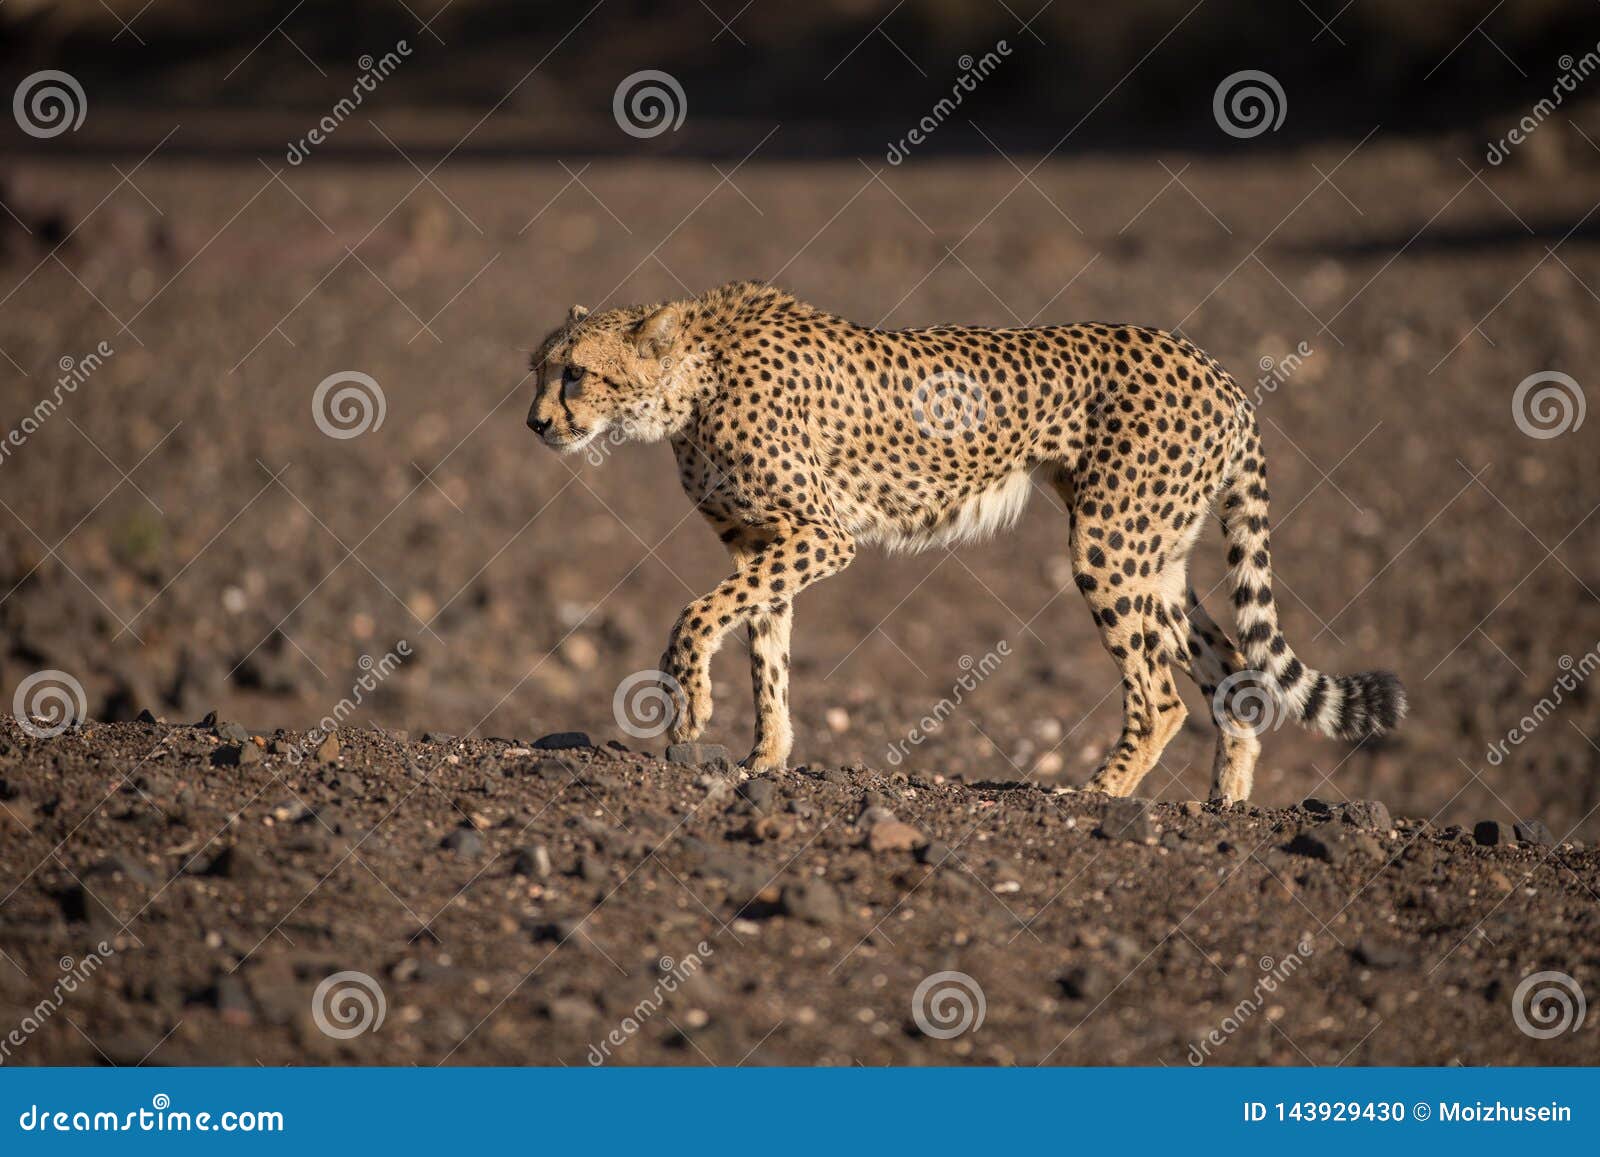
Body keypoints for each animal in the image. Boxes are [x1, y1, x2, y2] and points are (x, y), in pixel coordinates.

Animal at [525, 281, 1406, 802]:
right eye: (537, 368)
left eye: (575, 373)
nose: (535, 423)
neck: (687, 382)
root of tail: (1213, 367)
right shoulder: (762, 545)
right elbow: (763, 647)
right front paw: (764, 759)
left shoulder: (821, 534)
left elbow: (698, 616)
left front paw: (690, 713)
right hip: (1157, 557)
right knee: (1237, 678)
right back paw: (1224, 806)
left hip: (1108, 546)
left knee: (1160, 695)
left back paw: (1099, 793)